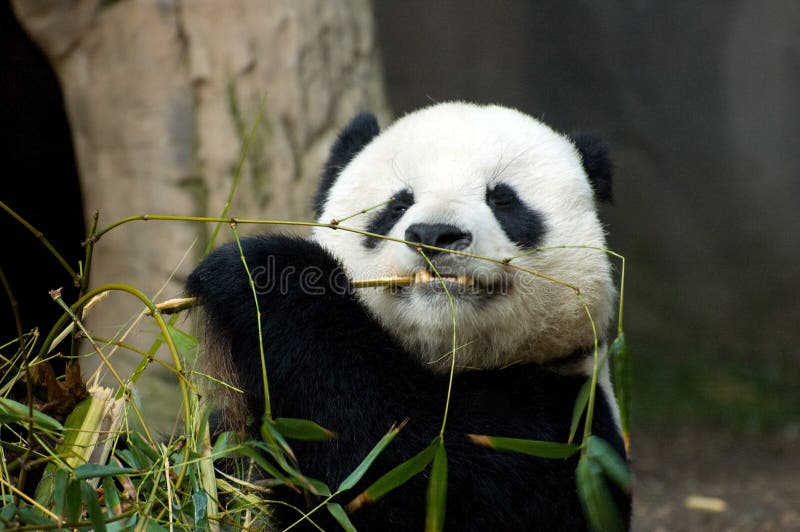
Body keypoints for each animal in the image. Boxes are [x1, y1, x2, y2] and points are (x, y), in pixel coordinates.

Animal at [187, 102, 630, 530]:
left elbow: (393, 466)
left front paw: (263, 268)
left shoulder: (565, 432)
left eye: (502, 199)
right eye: (397, 204)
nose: (435, 235)